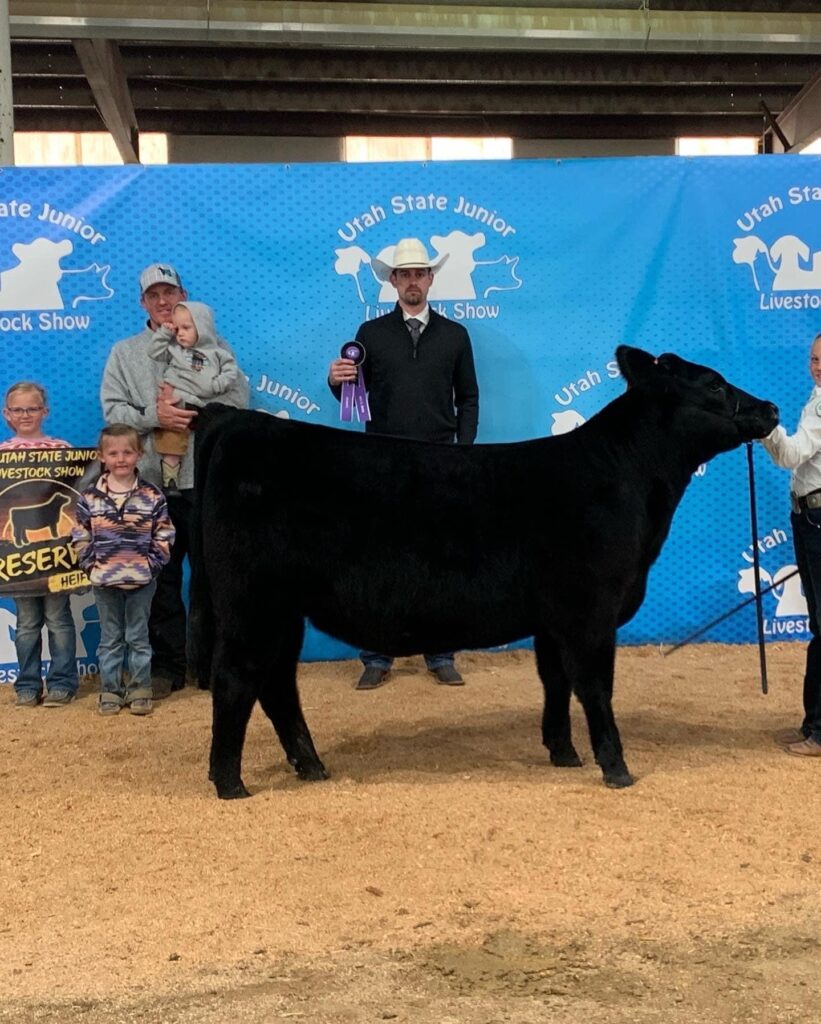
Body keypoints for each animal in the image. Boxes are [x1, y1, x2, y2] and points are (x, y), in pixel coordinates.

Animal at [189, 346, 778, 799]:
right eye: (715, 385)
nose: (772, 406)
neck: (625, 479)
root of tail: (238, 421)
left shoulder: (553, 618)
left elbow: (555, 682)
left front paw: (563, 753)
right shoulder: (590, 610)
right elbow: (594, 687)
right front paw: (616, 768)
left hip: (284, 610)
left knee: (277, 683)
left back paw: (311, 766)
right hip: (252, 602)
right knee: (237, 677)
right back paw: (229, 783)